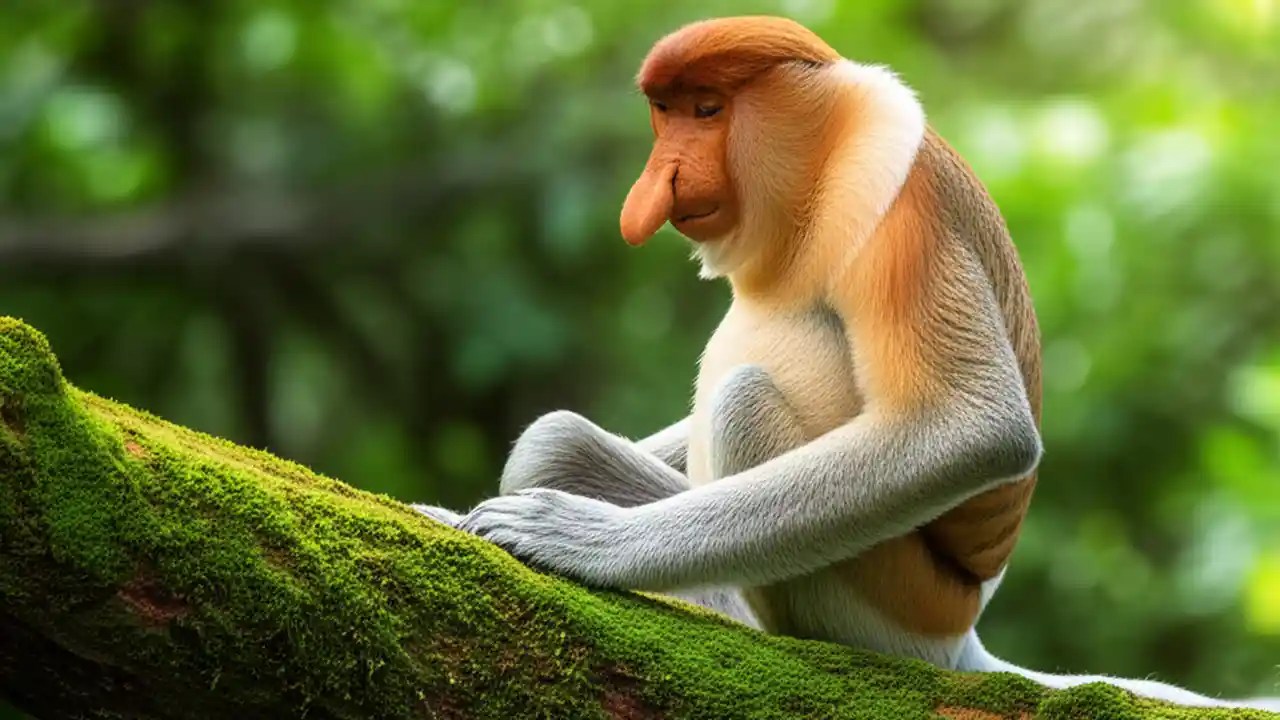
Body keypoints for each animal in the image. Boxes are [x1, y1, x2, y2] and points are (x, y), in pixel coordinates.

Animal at [413, 17, 1280, 711]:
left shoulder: (899, 213)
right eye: (664, 114)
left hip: (890, 594)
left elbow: (980, 430)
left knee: (742, 401)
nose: (660, 181)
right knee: (555, 439)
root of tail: (961, 637)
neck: (821, 163)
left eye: (707, 110)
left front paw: (574, 539)